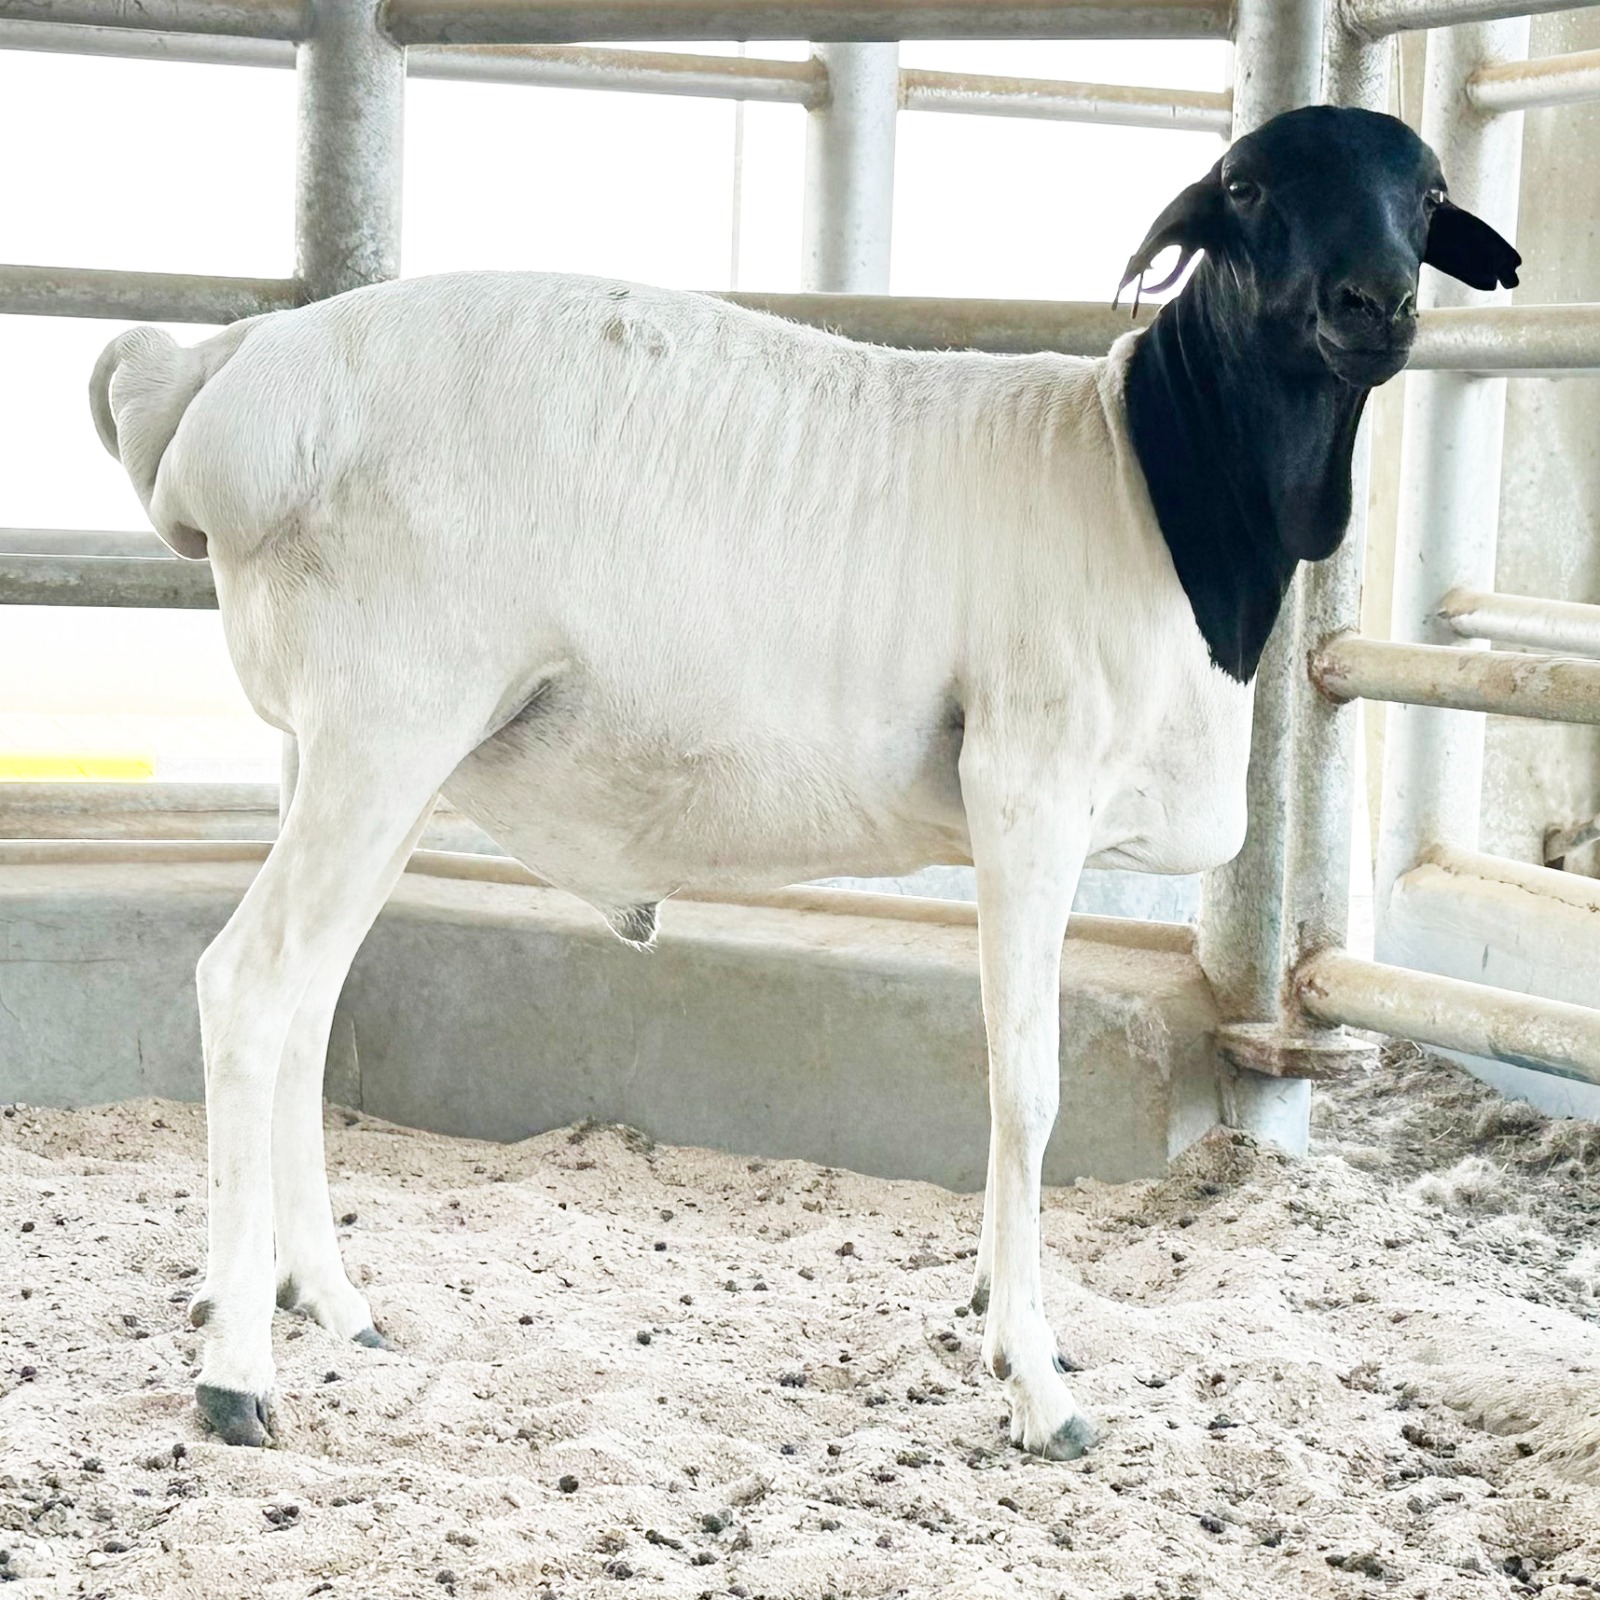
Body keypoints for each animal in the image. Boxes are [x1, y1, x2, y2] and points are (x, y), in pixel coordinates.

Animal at [89, 104, 1518, 1457]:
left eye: (1428, 194)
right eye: (1245, 189)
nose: (1372, 305)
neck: (1151, 480)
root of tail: (213, 373)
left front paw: (996, 1320)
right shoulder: (1027, 789)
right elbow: (1027, 1085)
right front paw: (1038, 1385)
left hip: (377, 753)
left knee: (307, 1006)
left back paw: (330, 1303)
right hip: (385, 725)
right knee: (250, 987)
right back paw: (237, 1376)